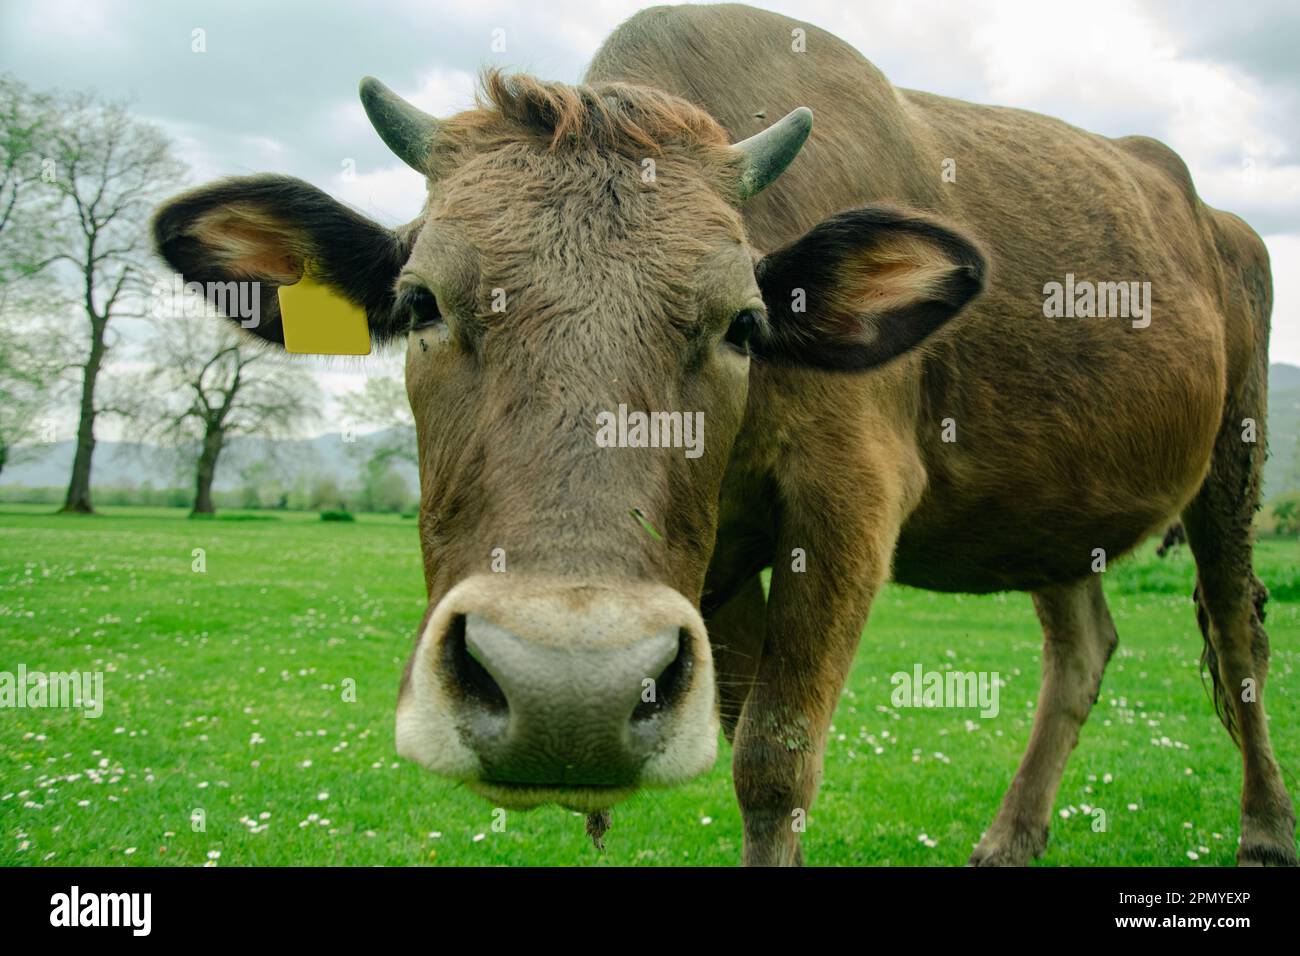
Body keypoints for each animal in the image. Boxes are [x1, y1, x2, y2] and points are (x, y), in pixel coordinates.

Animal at [151, 3, 1294, 866]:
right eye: (420, 301)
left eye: (745, 322)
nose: (565, 690)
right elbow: (742, 727)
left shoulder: (848, 496)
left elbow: (774, 761)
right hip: (1055, 513)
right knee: (1083, 647)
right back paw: (1012, 837)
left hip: (1232, 459)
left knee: (1236, 634)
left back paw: (1265, 830)